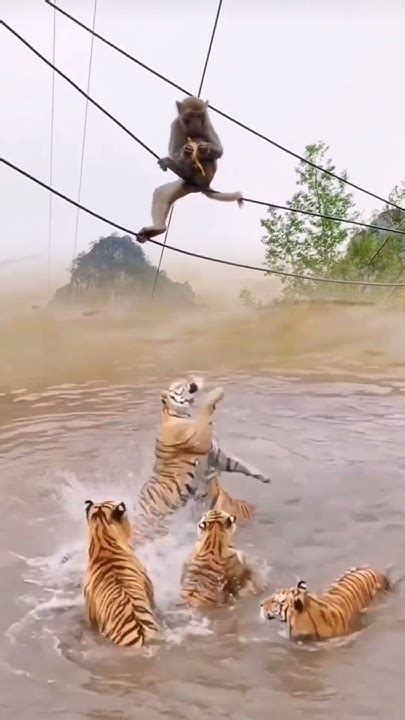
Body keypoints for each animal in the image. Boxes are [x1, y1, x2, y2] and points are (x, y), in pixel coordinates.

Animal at [137, 97, 243, 242]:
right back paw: (159, 228)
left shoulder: (207, 123)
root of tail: (203, 186)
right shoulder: (176, 125)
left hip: (205, 175)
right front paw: (185, 152)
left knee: (200, 141)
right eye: (190, 116)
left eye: (199, 116)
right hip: (186, 184)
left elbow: (219, 150)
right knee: (161, 192)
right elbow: (173, 152)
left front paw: (204, 149)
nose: (196, 124)